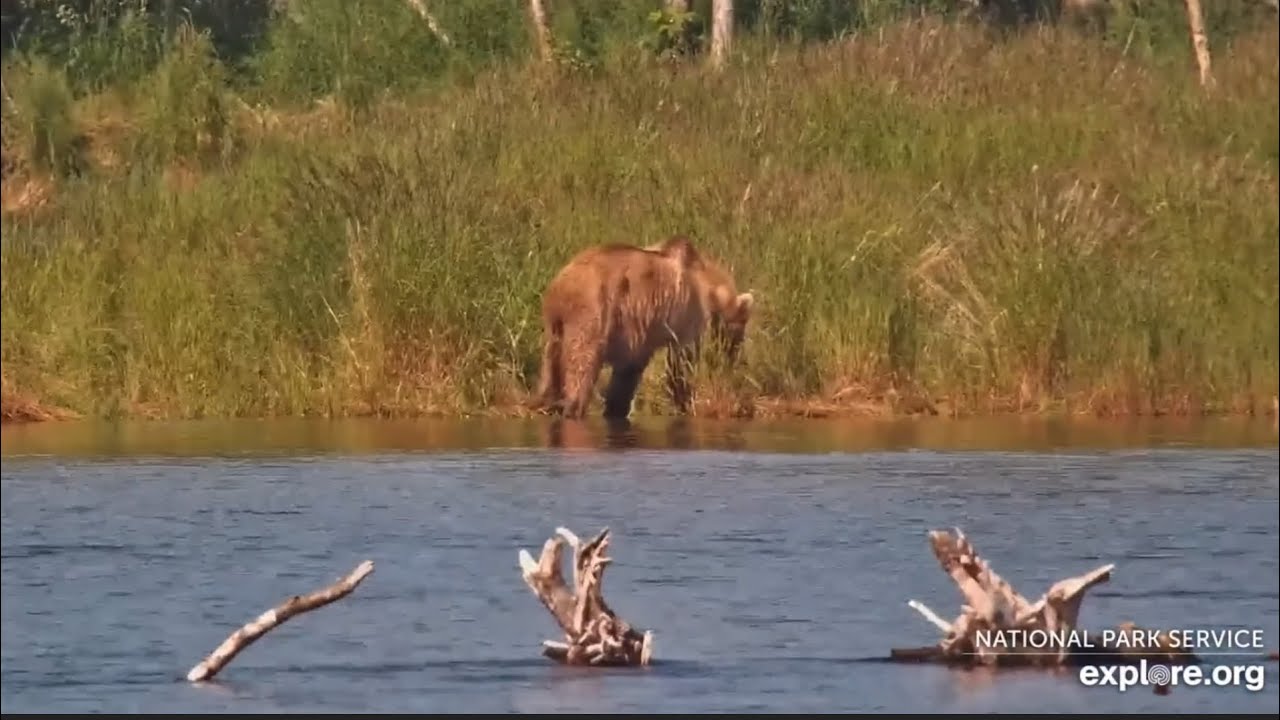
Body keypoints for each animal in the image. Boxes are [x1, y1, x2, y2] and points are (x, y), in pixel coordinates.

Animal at [530, 235, 754, 420]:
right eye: (739, 334)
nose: (735, 358)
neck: (709, 285)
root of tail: (563, 284)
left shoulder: (640, 333)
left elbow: (627, 374)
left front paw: (616, 408)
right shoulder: (687, 314)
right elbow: (681, 362)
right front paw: (684, 402)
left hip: (554, 326)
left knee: (551, 367)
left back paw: (544, 404)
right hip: (592, 313)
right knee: (582, 361)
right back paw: (573, 407)